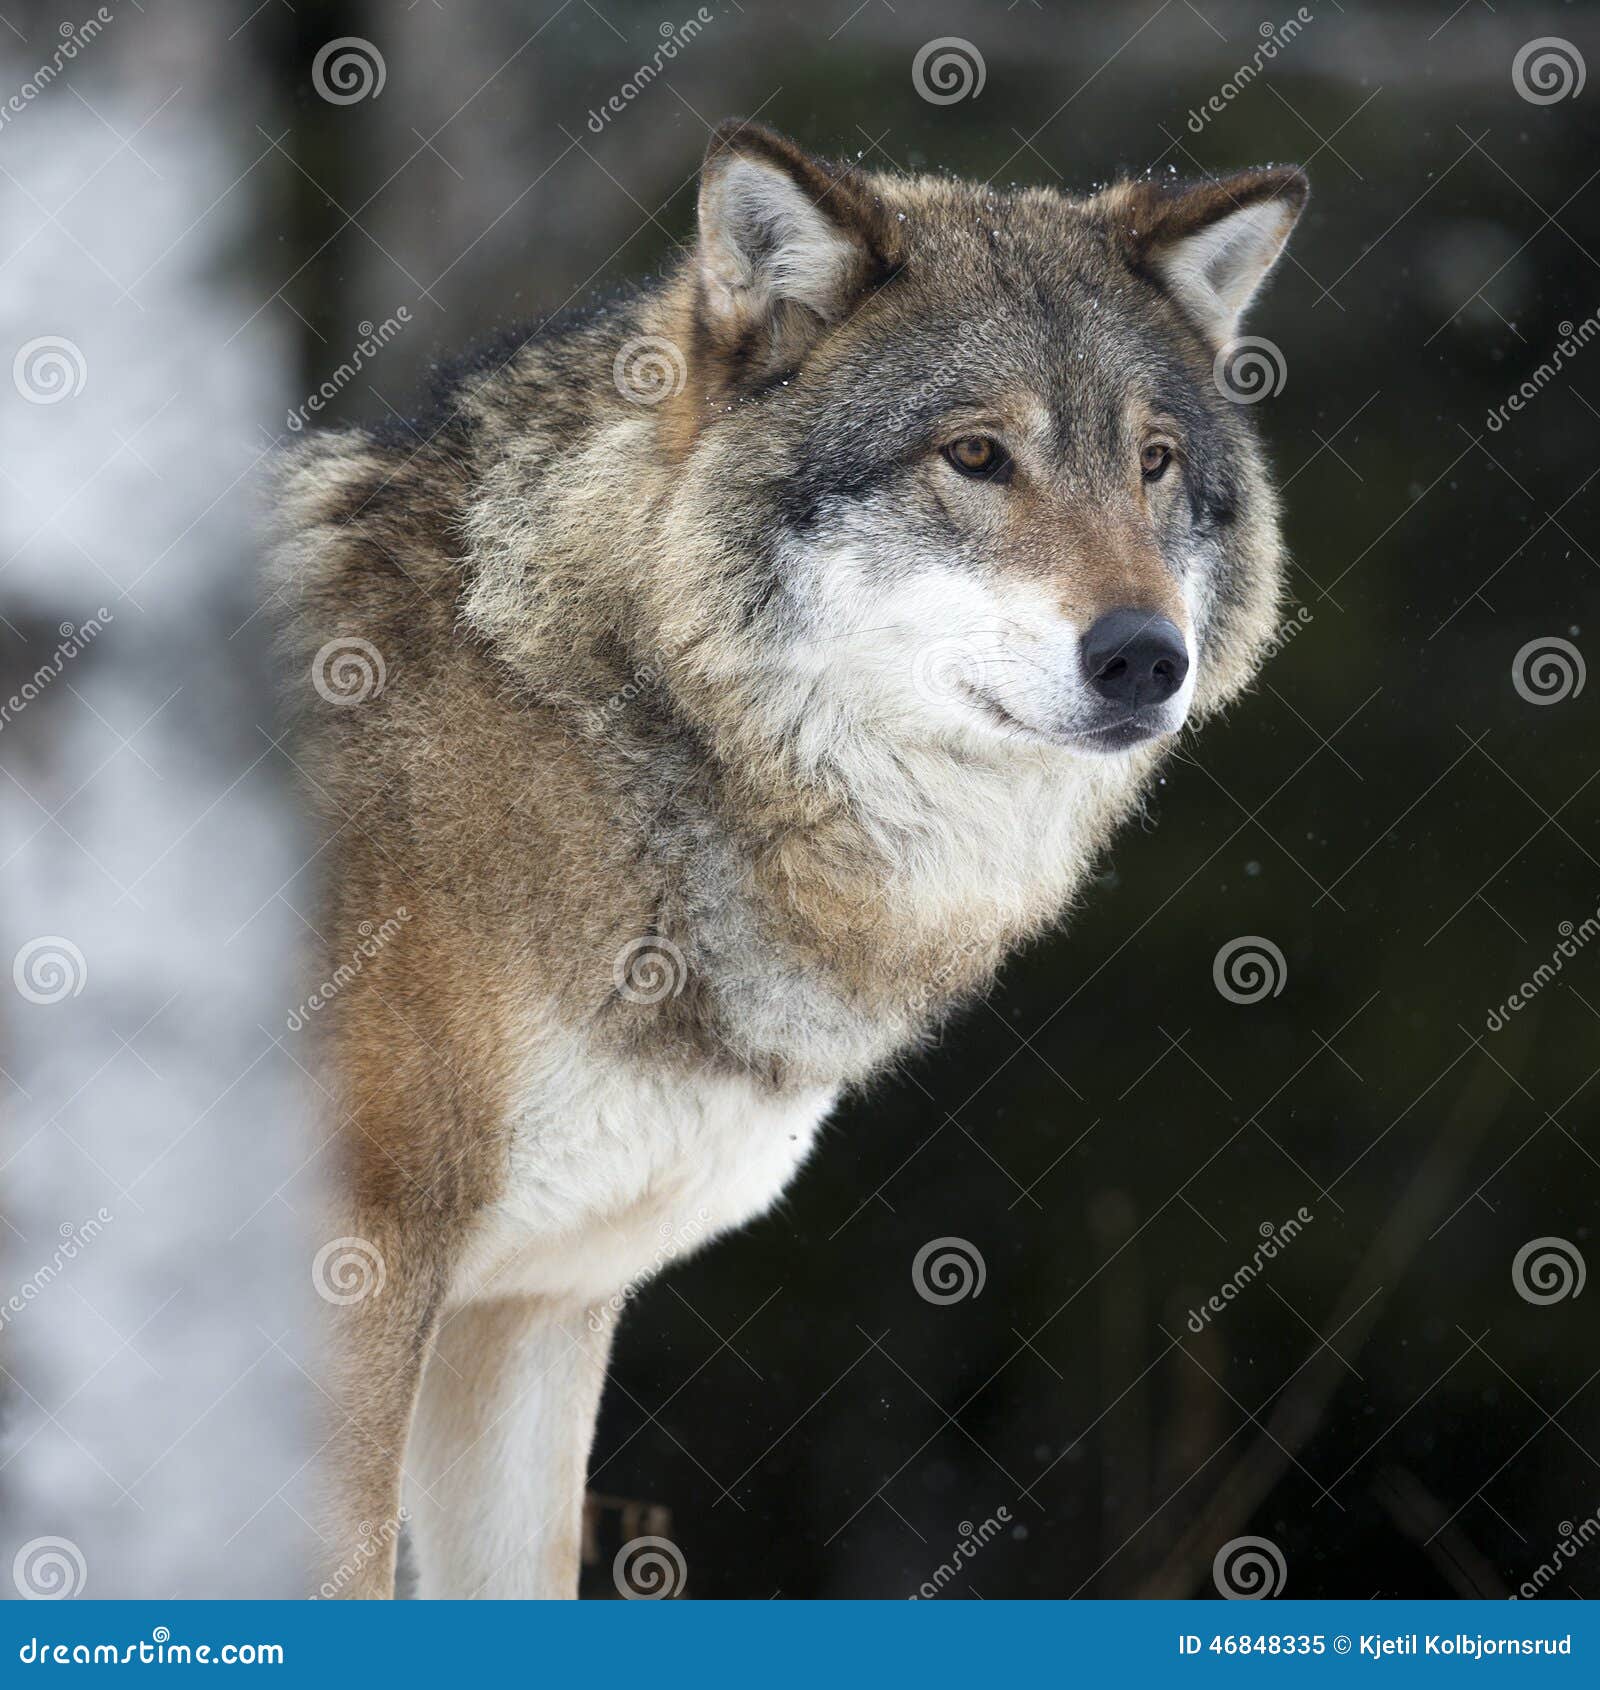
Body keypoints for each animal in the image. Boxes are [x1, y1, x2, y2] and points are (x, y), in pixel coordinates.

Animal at [269, 120, 1306, 1599]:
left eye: (1154, 461)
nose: (1144, 658)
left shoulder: (533, 1305)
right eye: (975, 455)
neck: (595, 714)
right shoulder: (360, 1270)